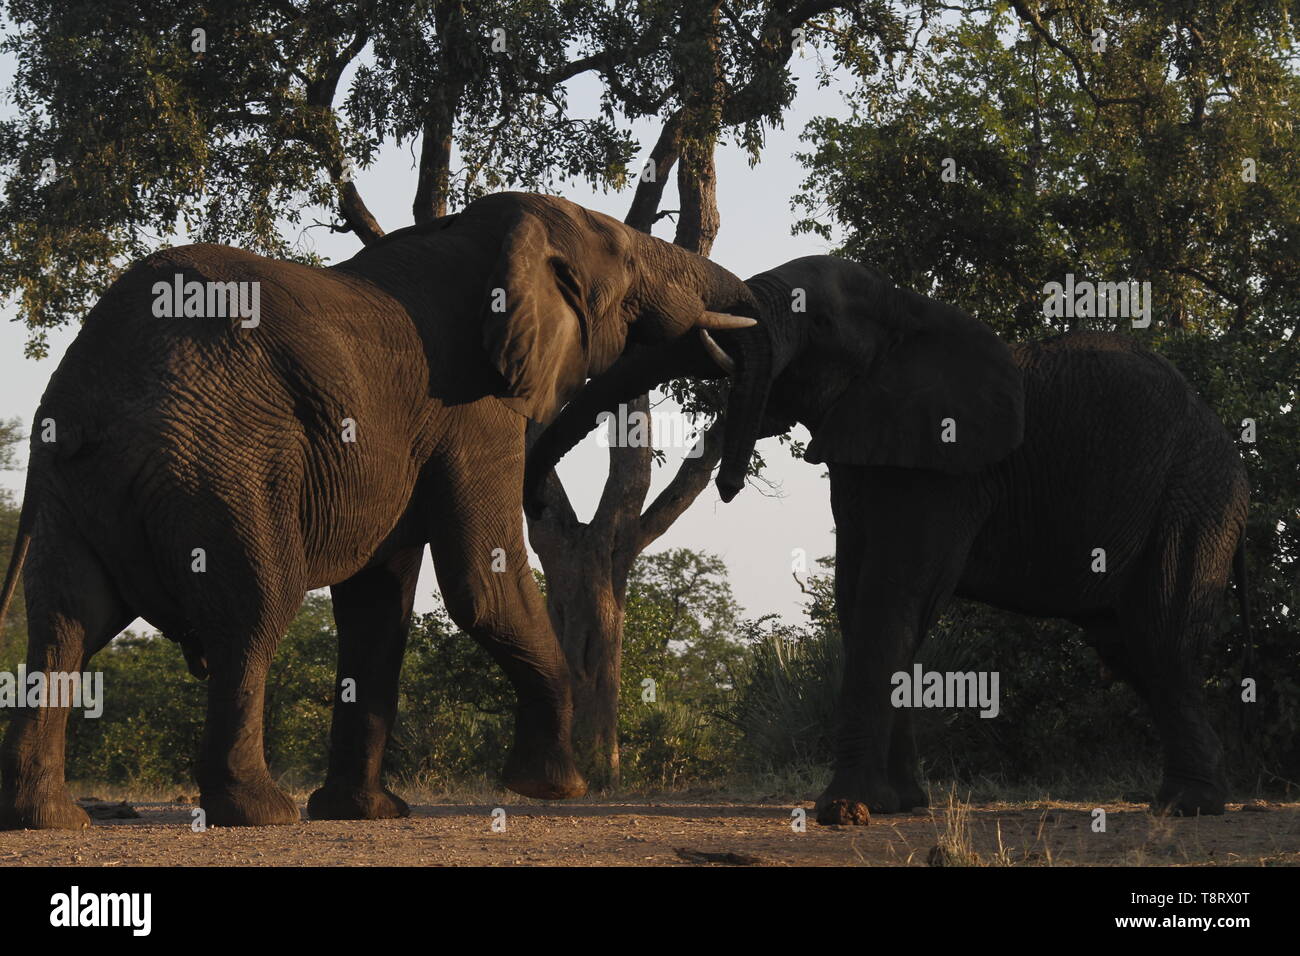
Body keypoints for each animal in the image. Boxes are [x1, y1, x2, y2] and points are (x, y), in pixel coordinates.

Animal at [0, 191, 760, 829]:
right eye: (627, 259)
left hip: (77, 489)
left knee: (65, 623)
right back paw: (262, 814)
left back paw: (49, 819)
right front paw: (552, 789)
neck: (483, 234)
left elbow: (378, 605)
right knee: (251, 612)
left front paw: (368, 813)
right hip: (220, 463)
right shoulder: (473, 412)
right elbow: (482, 585)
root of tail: (82, 396)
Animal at [525, 254, 1251, 823]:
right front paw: (899, 805)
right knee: (1127, 644)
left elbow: (891, 596)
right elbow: (859, 600)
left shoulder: (948, 467)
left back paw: (1187, 806)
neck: (906, 310)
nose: (728, 485)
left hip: (1194, 495)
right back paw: (1180, 801)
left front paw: (842, 811)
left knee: (1159, 633)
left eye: (816, 323)